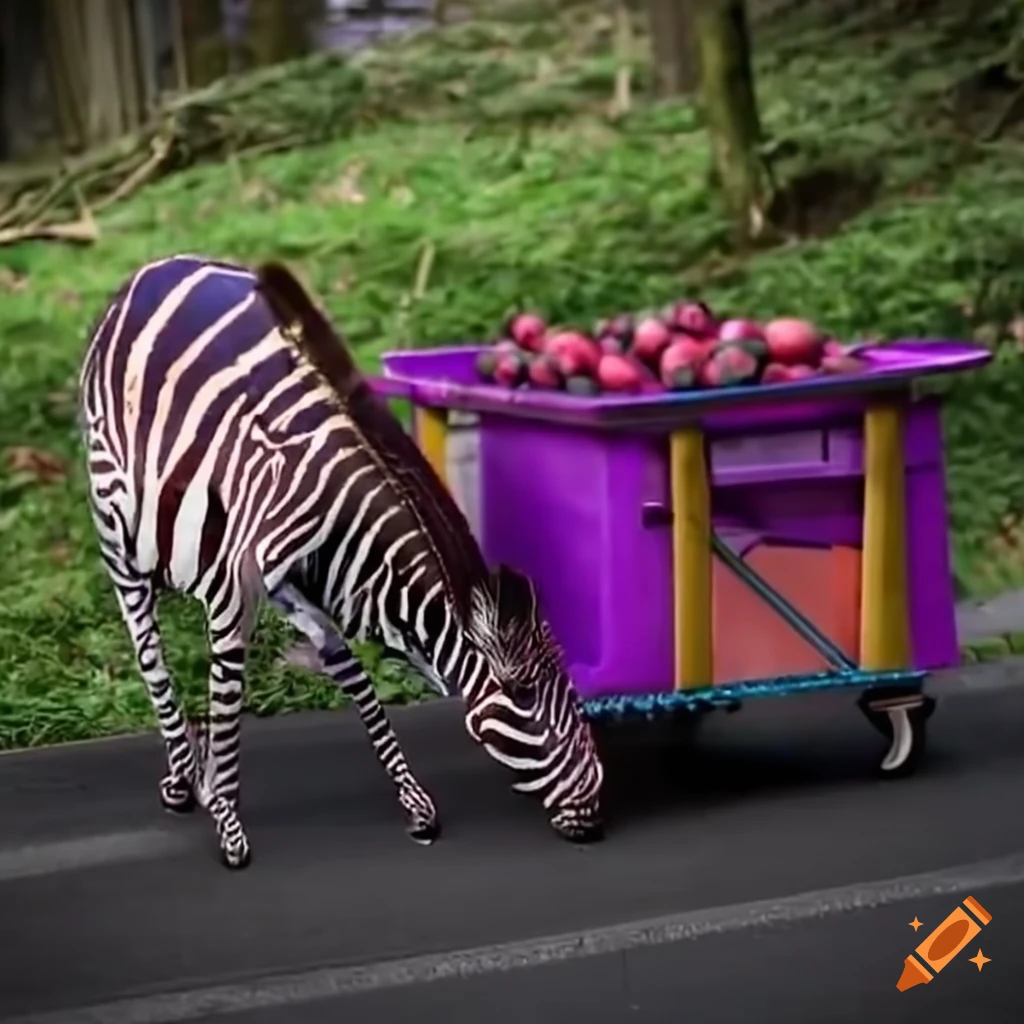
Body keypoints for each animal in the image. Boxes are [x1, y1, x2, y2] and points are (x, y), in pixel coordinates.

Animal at [78, 254, 605, 868]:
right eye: (522, 694)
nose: (595, 815)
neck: (339, 532)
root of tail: (156, 267)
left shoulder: (299, 585)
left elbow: (352, 675)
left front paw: (415, 804)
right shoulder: (236, 589)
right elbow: (229, 697)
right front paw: (228, 821)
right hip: (115, 530)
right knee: (148, 650)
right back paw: (186, 778)